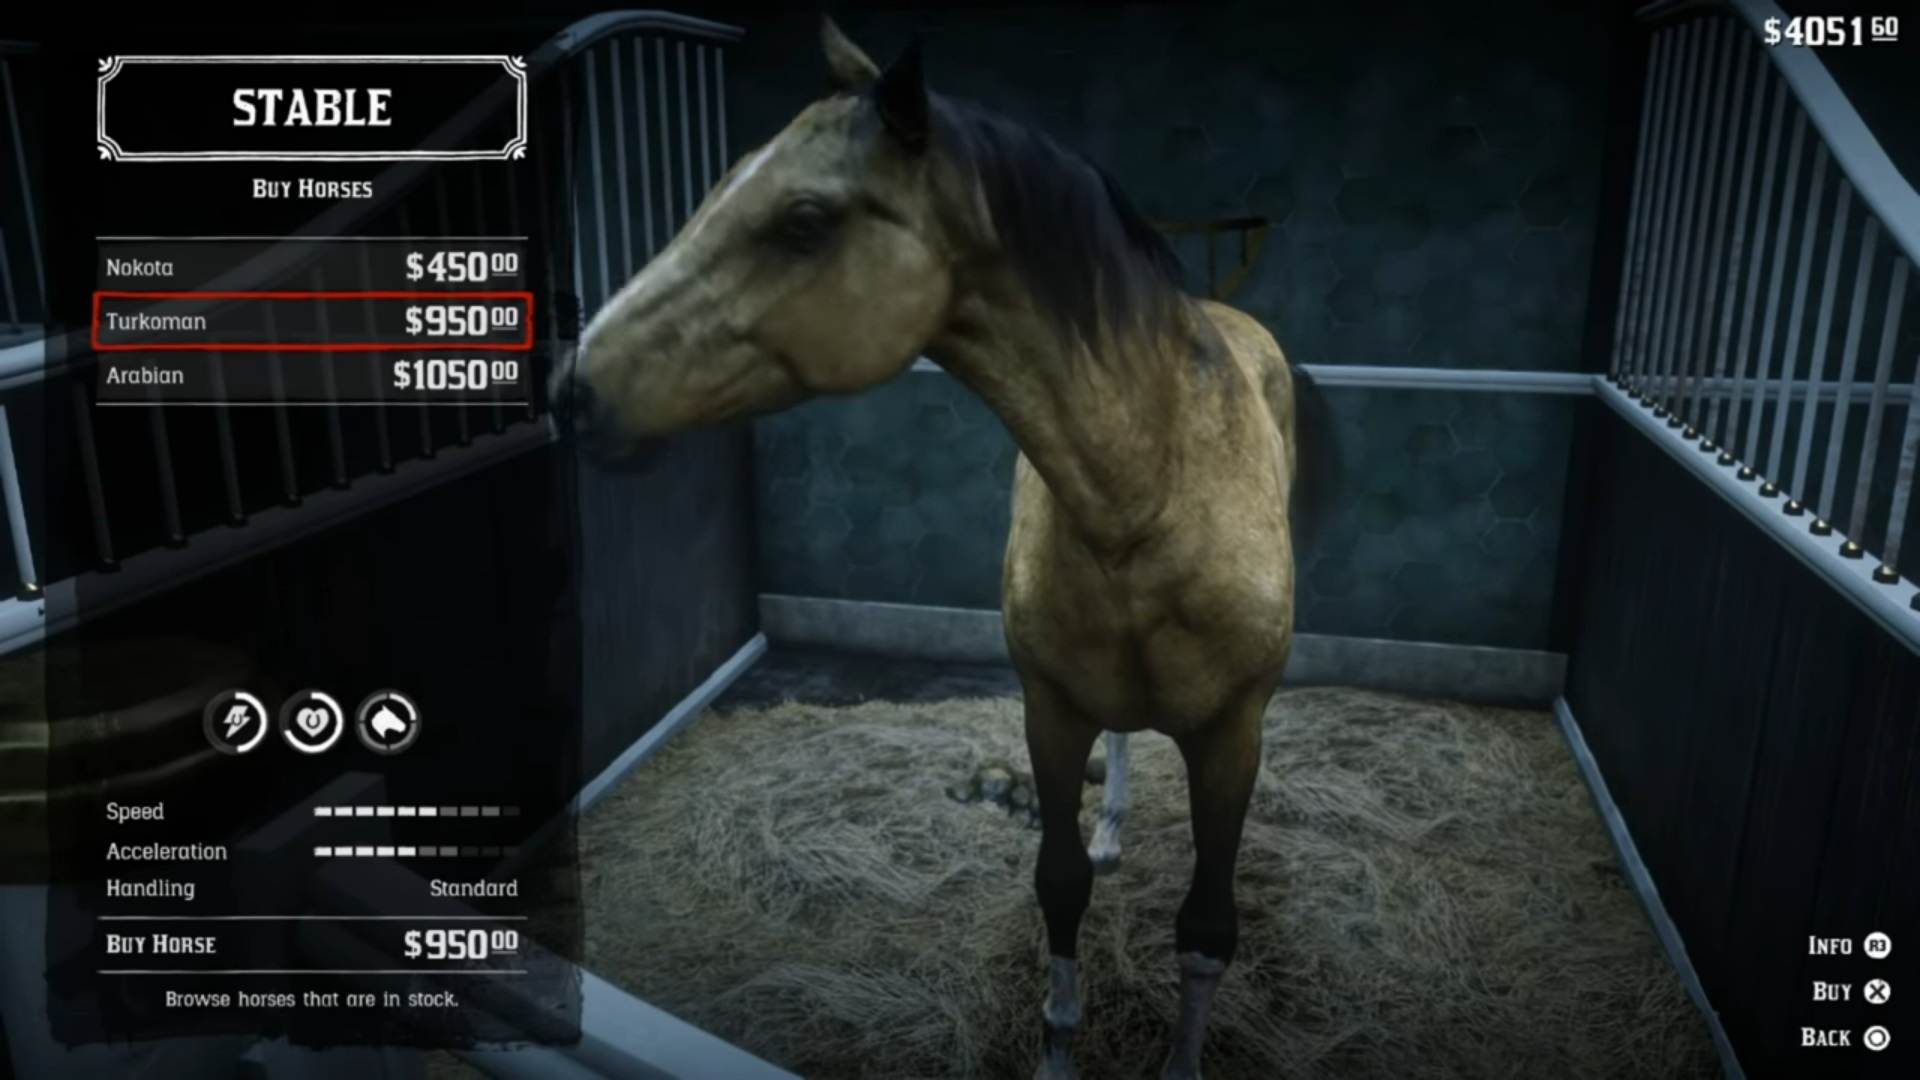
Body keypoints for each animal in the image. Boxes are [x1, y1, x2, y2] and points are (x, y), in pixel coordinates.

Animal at [553, 19, 1337, 1080]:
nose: (575, 388)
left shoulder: (1230, 737)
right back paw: (1117, 831)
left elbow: (1207, 930)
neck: (1148, 495)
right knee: (1123, 739)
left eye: (804, 219)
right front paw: (1057, 1048)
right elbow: (1059, 882)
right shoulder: (1051, 712)